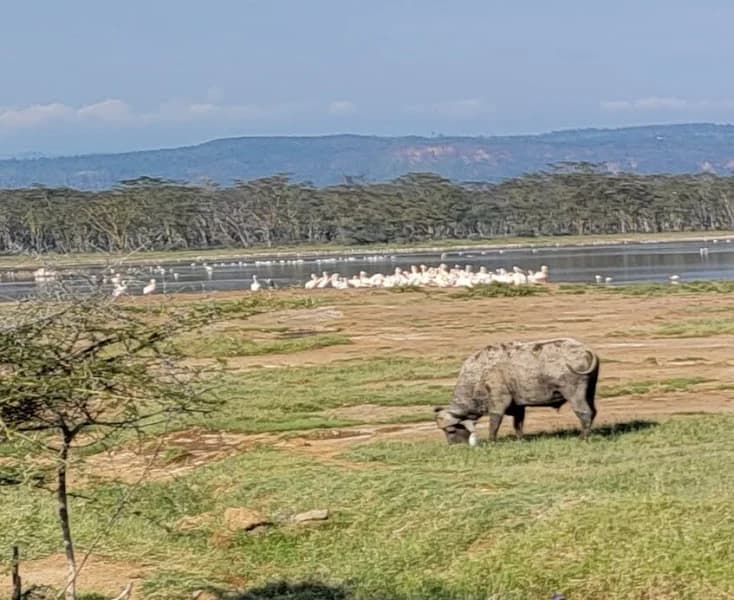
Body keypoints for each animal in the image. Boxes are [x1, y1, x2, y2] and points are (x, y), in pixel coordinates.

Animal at [435, 338, 599, 444]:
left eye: (450, 430)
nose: (453, 445)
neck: (480, 374)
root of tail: (586, 350)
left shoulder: (498, 401)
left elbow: (494, 423)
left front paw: (491, 441)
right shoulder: (518, 407)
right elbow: (518, 424)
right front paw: (520, 440)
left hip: (574, 394)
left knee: (585, 413)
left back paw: (582, 438)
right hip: (590, 391)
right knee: (593, 411)